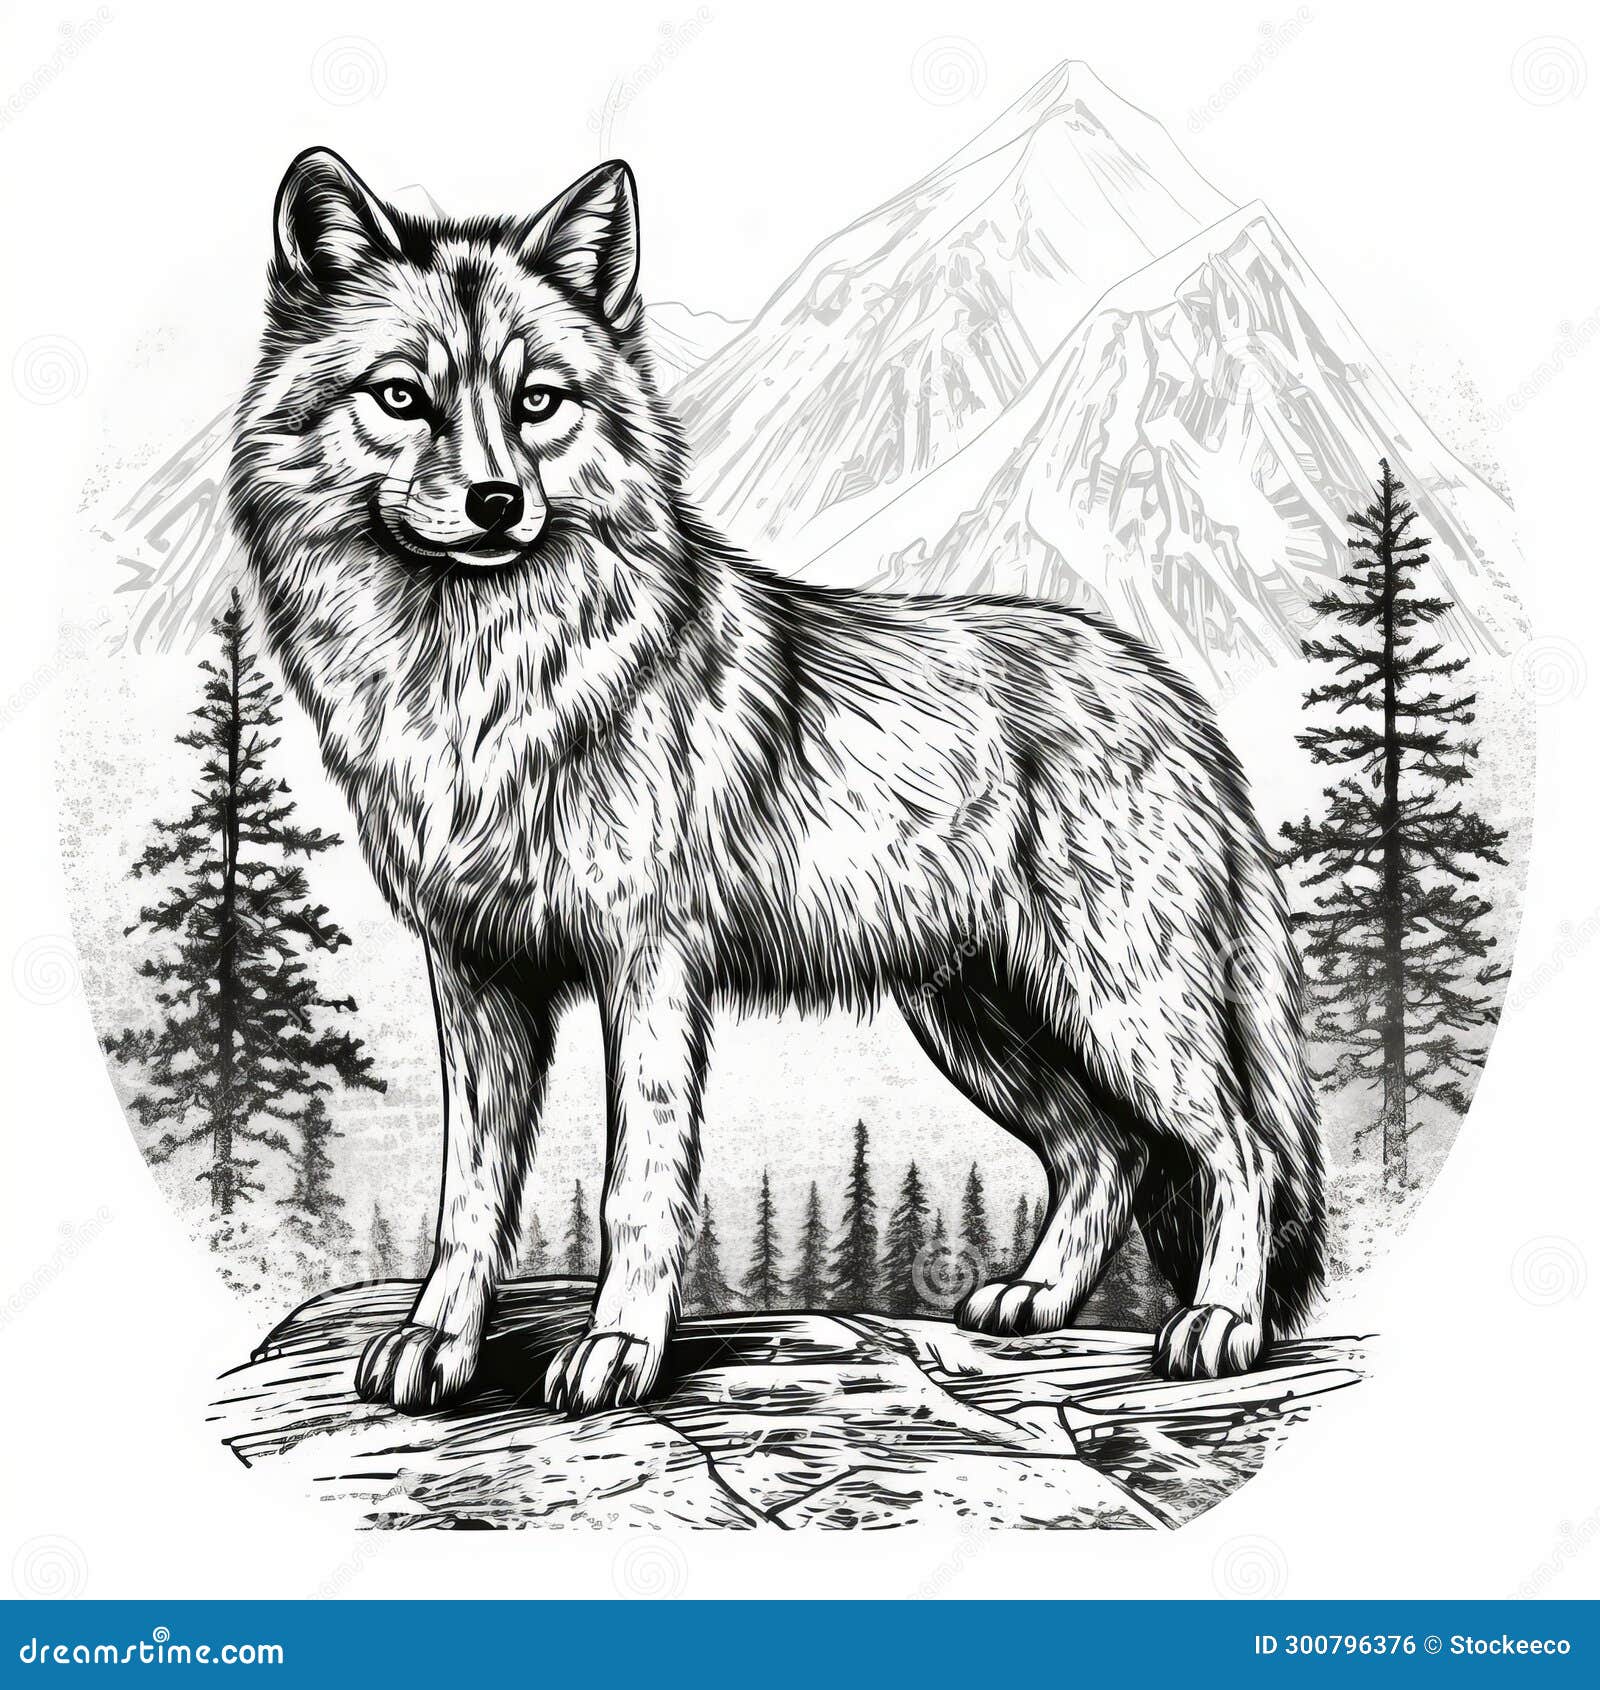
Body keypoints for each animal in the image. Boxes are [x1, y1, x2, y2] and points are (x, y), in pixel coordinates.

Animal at [229, 148, 1324, 1416]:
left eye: (538, 401)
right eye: (403, 397)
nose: (498, 503)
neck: (488, 685)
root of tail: (1172, 692)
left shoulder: (647, 965)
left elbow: (637, 1184)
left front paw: (621, 1348)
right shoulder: (475, 974)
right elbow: (470, 1197)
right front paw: (439, 1343)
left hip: (1115, 1006)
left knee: (1234, 1146)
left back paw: (1220, 1322)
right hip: (979, 1019)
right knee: (1111, 1148)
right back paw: (1036, 1300)